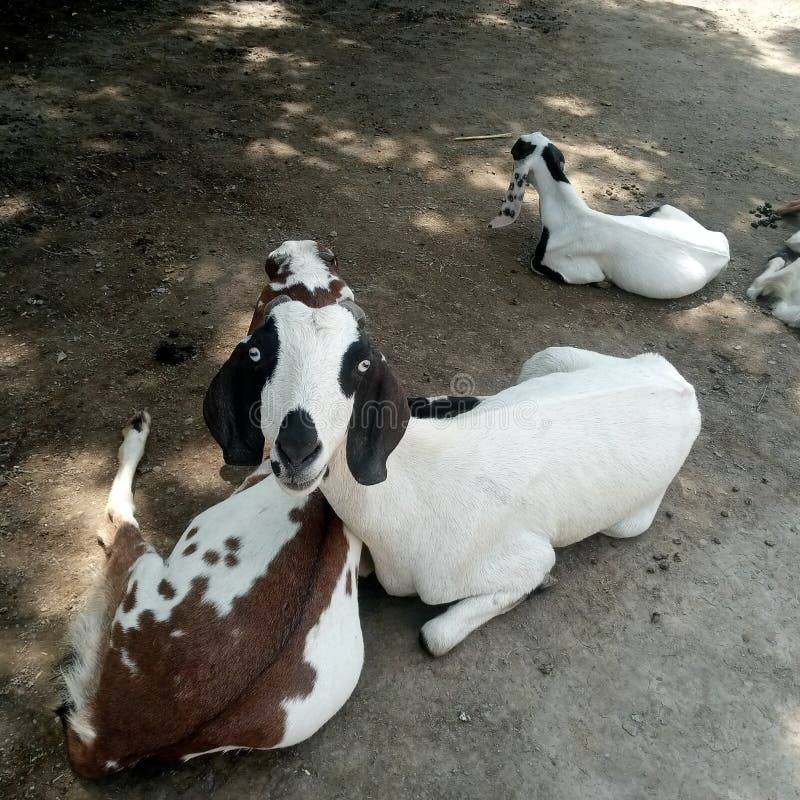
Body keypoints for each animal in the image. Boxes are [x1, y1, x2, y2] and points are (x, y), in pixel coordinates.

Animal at [205, 300, 701, 656]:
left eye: (361, 365)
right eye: (256, 353)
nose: (298, 449)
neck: (404, 493)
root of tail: (678, 383)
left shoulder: (524, 558)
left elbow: (435, 637)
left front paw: (541, 585)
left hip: (629, 522)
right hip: (548, 359)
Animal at [489, 132, 730, 299]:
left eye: (516, 149)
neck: (570, 214)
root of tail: (722, 244)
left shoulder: (568, 268)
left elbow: (538, 264)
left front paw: (603, 284)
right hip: (665, 209)